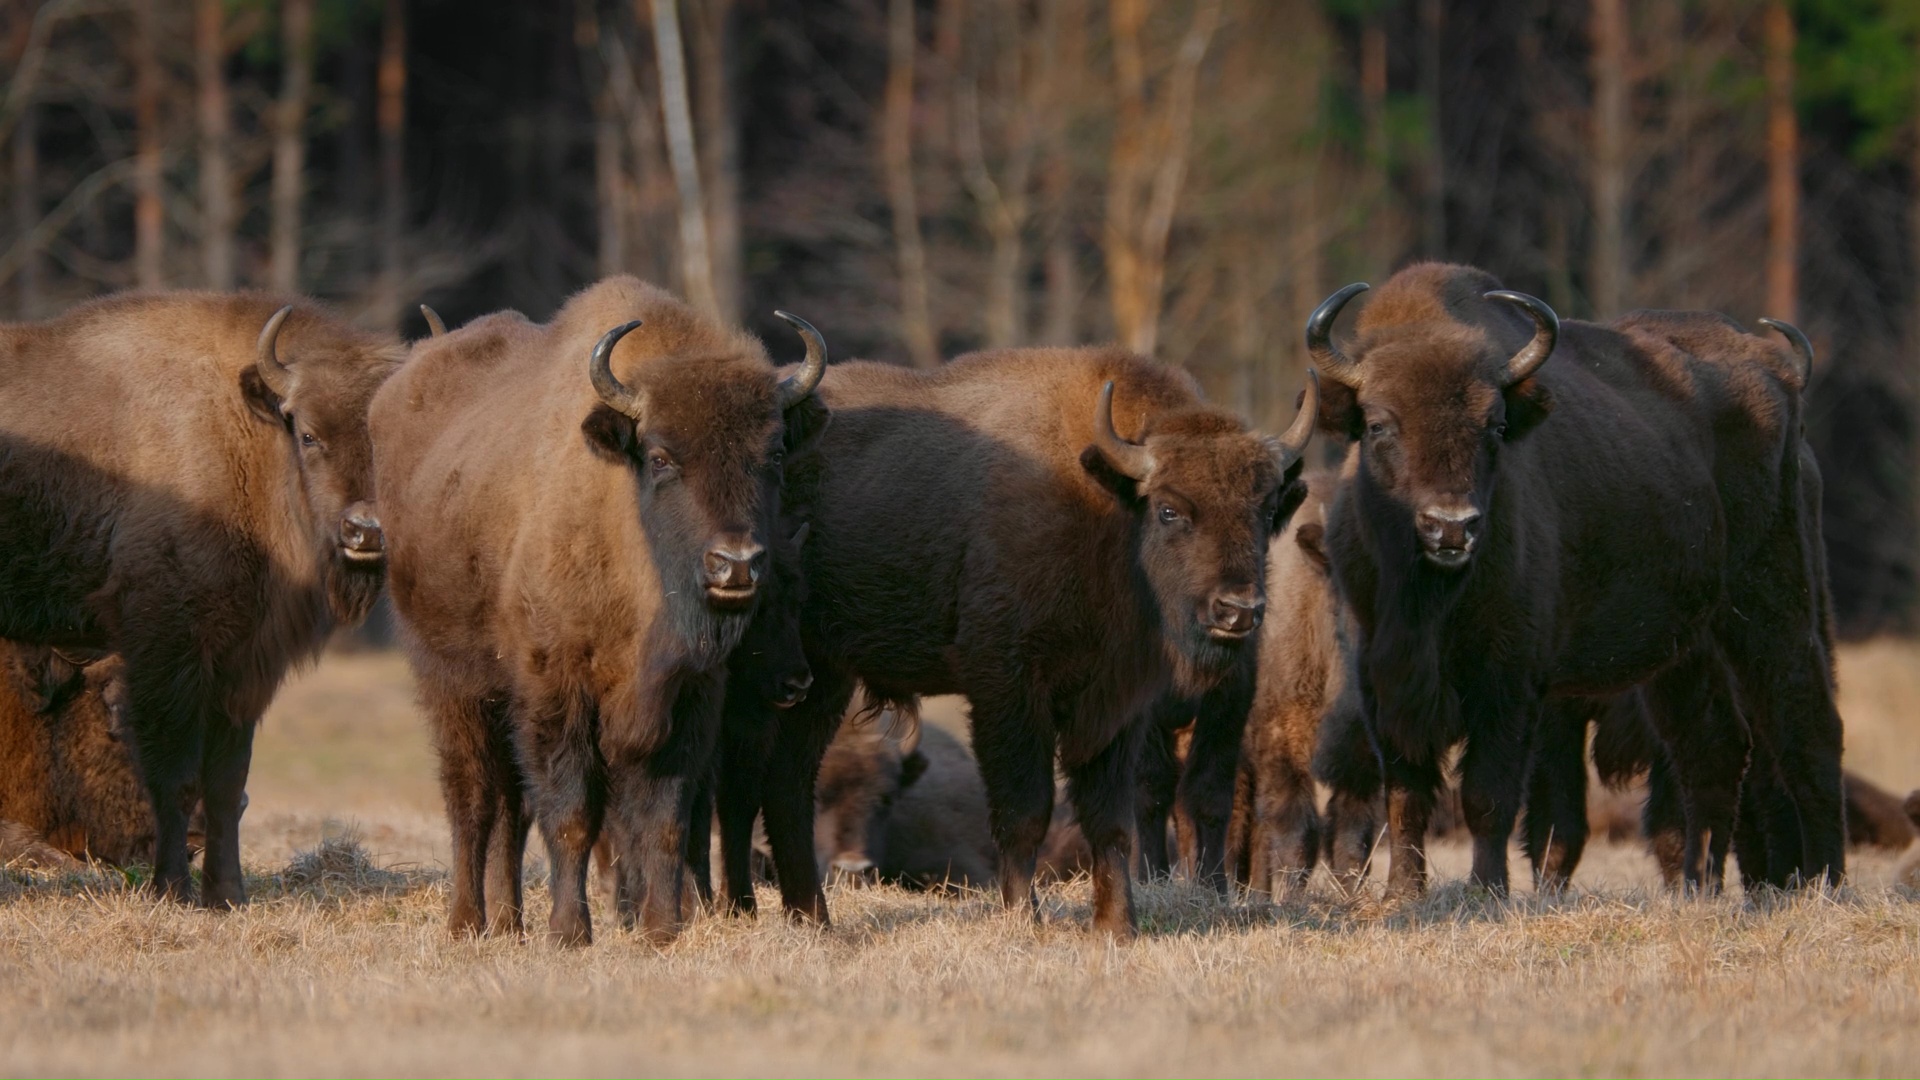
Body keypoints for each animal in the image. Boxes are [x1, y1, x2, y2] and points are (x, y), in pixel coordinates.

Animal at [0, 293, 401, 904]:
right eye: (308, 434)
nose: (365, 531)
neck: (242, 436)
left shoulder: (242, 665)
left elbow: (226, 785)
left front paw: (228, 894)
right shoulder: (169, 653)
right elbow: (179, 776)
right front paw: (172, 888)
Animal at [370, 277, 827, 945]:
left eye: (771, 455)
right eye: (660, 457)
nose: (736, 564)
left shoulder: (685, 695)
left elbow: (665, 816)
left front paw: (662, 929)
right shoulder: (556, 685)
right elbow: (572, 812)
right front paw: (569, 932)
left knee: (509, 804)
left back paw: (509, 923)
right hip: (450, 682)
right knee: (471, 795)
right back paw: (467, 923)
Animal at [722, 346, 1317, 937]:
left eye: (1266, 510)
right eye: (1169, 509)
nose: (1238, 610)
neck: (1105, 504)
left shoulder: (1114, 705)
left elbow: (1110, 820)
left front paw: (1117, 927)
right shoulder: (1008, 690)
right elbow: (1025, 811)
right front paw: (1024, 919)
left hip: (821, 678)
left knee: (788, 781)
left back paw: (812, 918)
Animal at [1307, 262, 1844, 896]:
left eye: (1495, 425)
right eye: (1377, 424)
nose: (1451, 526)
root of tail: (1778, 375)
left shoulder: (1510, 679)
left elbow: (1488, 796)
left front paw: (1487, 892)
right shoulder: (1384, 679)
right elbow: (1407, 795)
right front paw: (1404, 895)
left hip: (1775, 608)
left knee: (1808, 731)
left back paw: (1827, 882)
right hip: (1689, 650)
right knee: (1713, 752)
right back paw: (1698, 889)